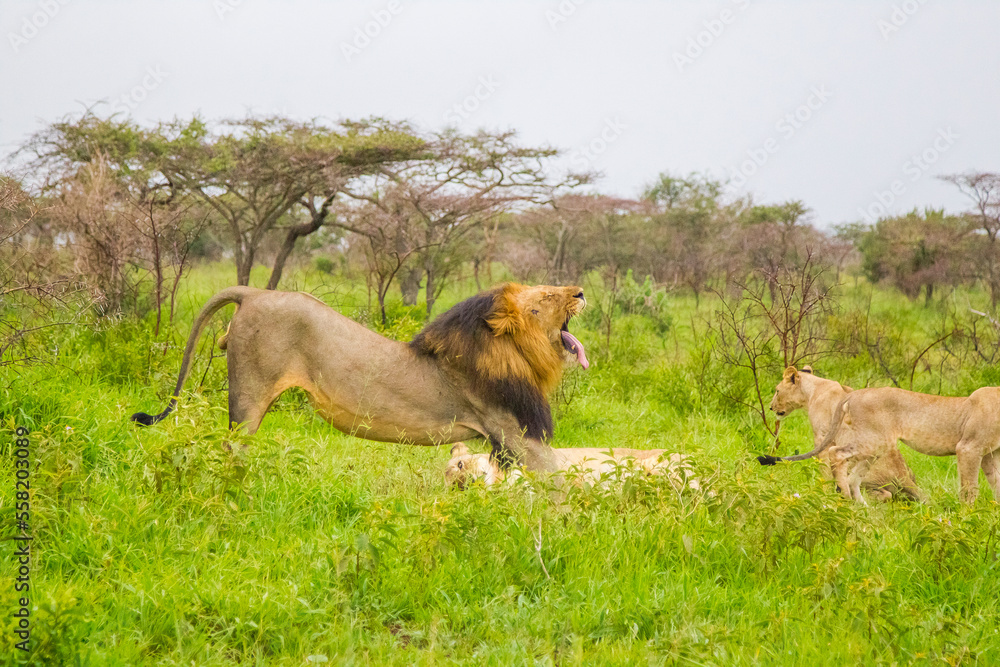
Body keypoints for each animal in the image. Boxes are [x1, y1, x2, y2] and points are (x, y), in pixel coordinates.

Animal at [131, 283, 589, 472]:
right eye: (547, 296)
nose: (581, 291)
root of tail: (253, 292)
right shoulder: (514, 432)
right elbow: (559, 480)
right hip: (248, 396)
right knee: (232, 447)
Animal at [760, 381, 1000, 504]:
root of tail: (855, 393)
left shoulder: (991, 454)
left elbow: (996, 485)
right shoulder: (968, 448)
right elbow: (970, 489)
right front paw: (966, 519)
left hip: (875, 449)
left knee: (854, 478)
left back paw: (862, 508)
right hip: (874, 441)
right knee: (836, 453)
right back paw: (845, 499)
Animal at [769, 366, 924, 501]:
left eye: (777, 391)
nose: (770, 407)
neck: (815, 388)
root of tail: (903, 476)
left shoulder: (823, 437)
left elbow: (823, 469)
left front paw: (823, 494)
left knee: (884, 494)